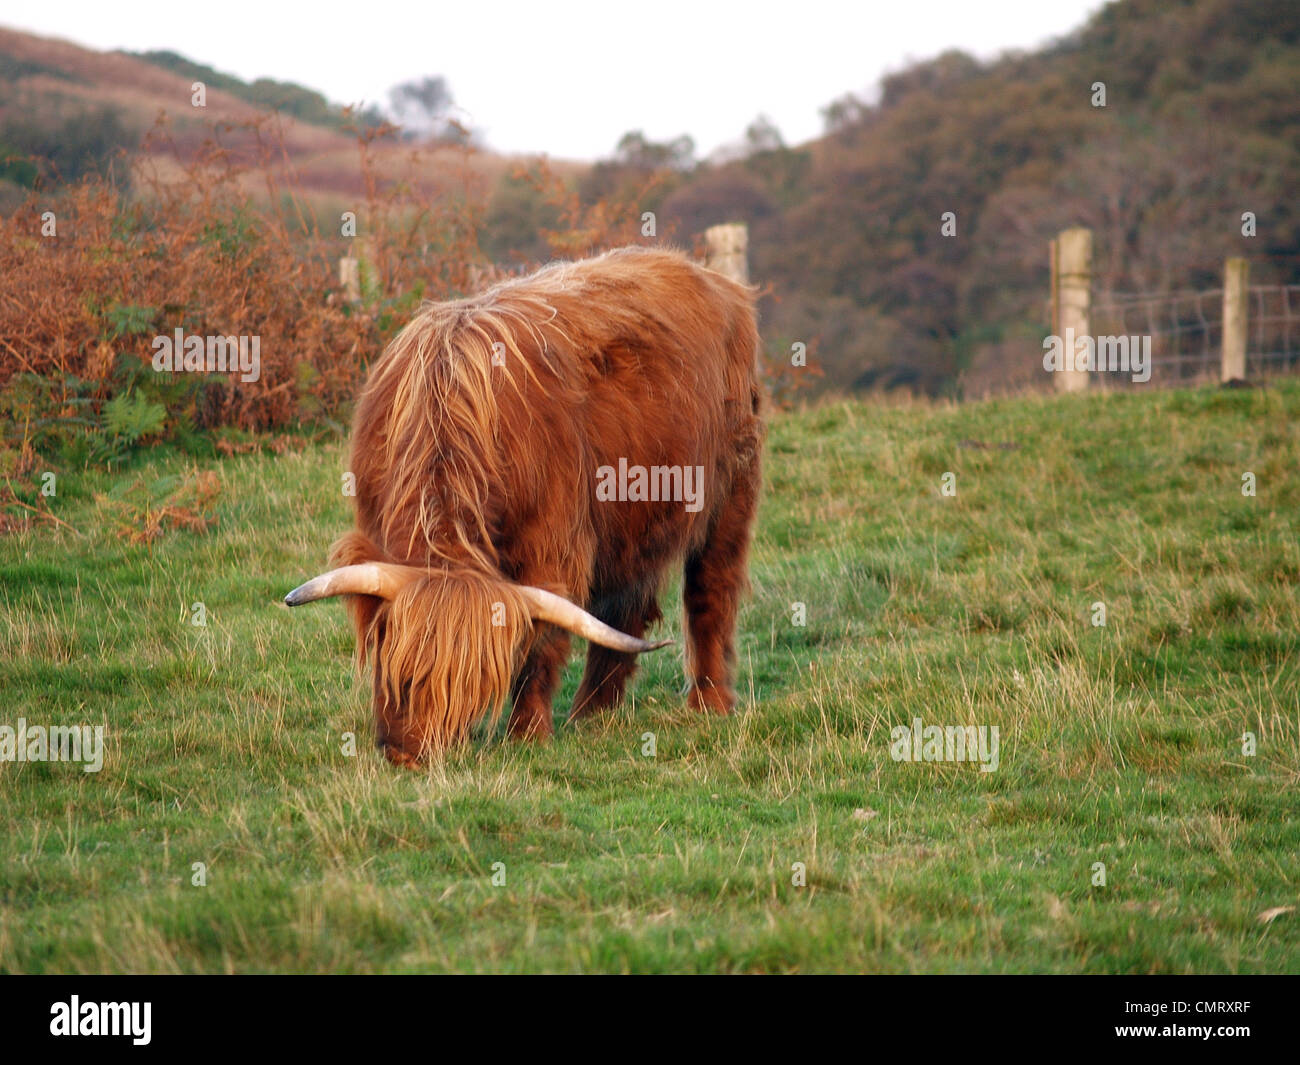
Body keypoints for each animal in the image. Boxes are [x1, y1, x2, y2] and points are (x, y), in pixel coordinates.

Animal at [285, 246, 764, 765]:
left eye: (470, 687)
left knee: (710, 590)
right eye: (401, 674)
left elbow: (542, 641)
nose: (411, 754)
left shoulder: (553, 547)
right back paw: (591, 715)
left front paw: (527, 731)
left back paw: (709, 703)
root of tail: (710, 278)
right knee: (625, 608)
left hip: (730, 493)